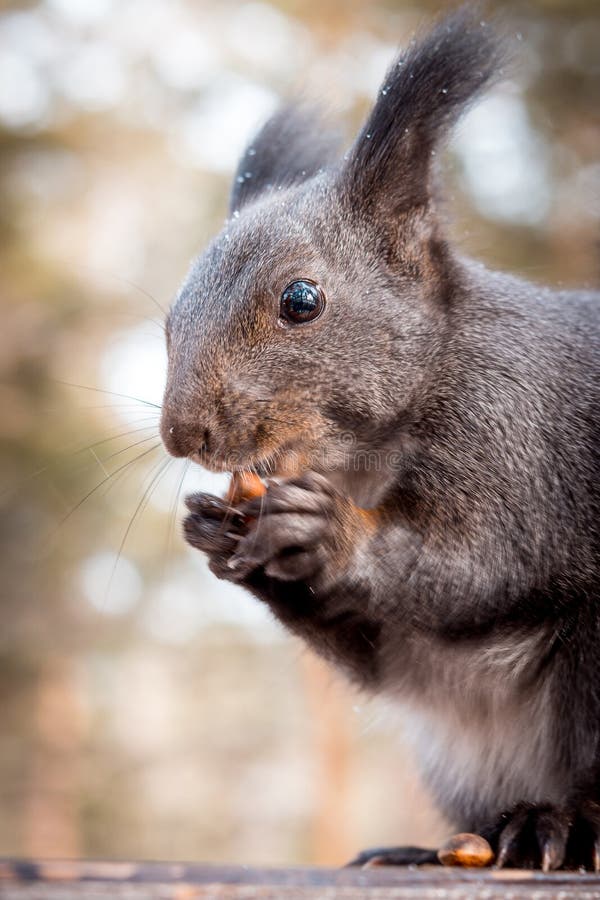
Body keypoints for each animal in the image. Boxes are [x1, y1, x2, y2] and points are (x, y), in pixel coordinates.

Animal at [160, 6, 600, 871]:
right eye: (167, 320)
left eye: (301, 300)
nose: (181, 433)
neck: (363, 460)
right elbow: (382, 654)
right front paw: (219, 534)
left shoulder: (519, 437)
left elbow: (482, 562)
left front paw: (328, 535)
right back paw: (433, 849)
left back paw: (565, 823)